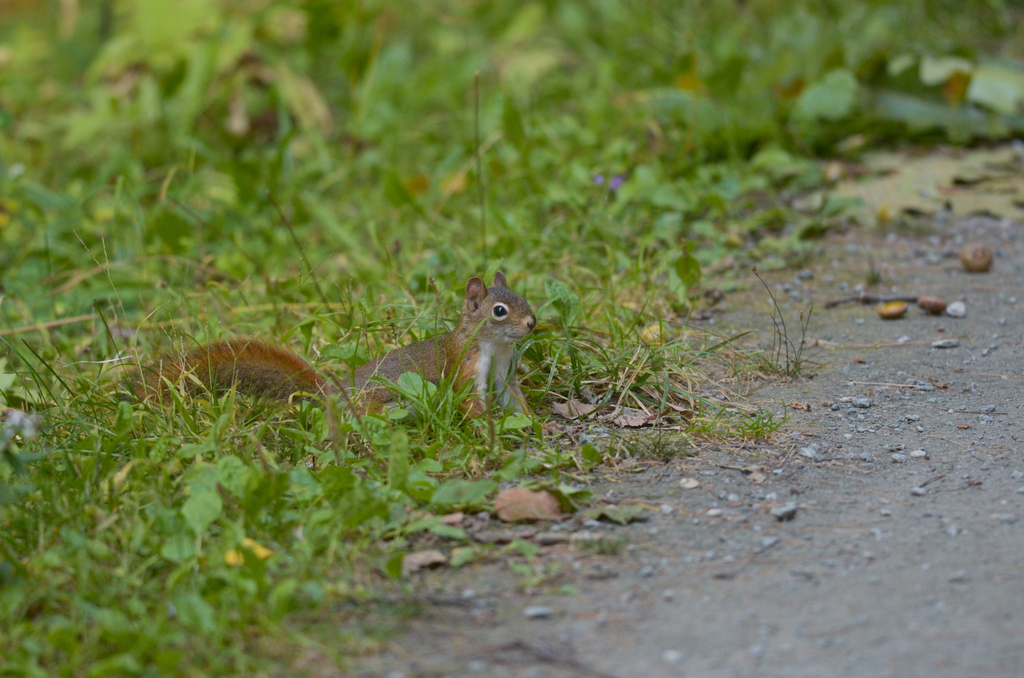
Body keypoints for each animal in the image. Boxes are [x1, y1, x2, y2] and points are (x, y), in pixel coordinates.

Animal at [130, 272, 537, 417]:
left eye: (523, 298)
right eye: (500, 311)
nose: (532, 323)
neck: (494, 347)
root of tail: (331, 394)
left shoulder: (504, 374)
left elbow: (513, 399)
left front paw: (533, 426)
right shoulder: (466, 368)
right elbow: (470, 403)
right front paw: (487, 431)